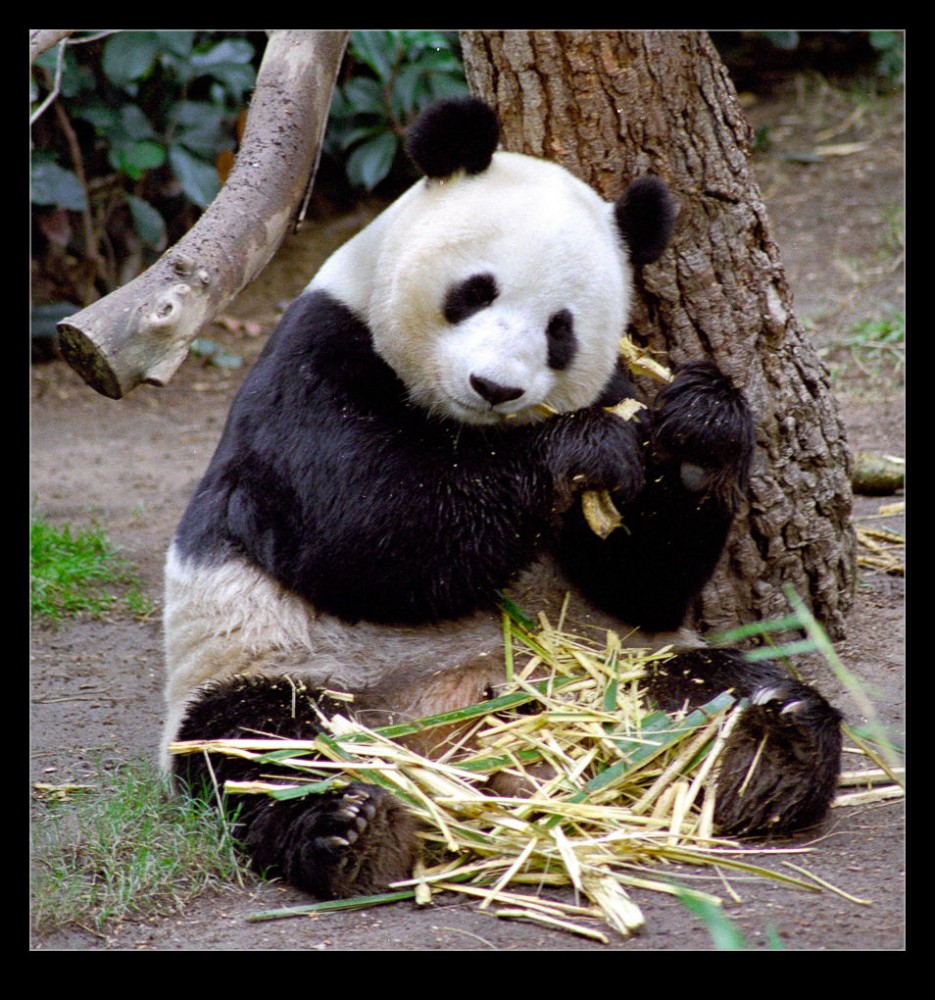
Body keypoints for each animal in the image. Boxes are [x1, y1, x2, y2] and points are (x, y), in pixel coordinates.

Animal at [162, 96, 843, 900]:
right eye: (474, 291)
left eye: (561, 330)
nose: (494, 386)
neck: (474, 431)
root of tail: (464, 743)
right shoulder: (313, 359)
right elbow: (364, 530)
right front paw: (578, 449)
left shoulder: (614, 395)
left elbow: (642, 582)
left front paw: (700, 434)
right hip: (289, 667)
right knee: (262, 748)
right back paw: (350, 830)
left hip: (609, 669)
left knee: (709, 688)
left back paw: (772, 748)